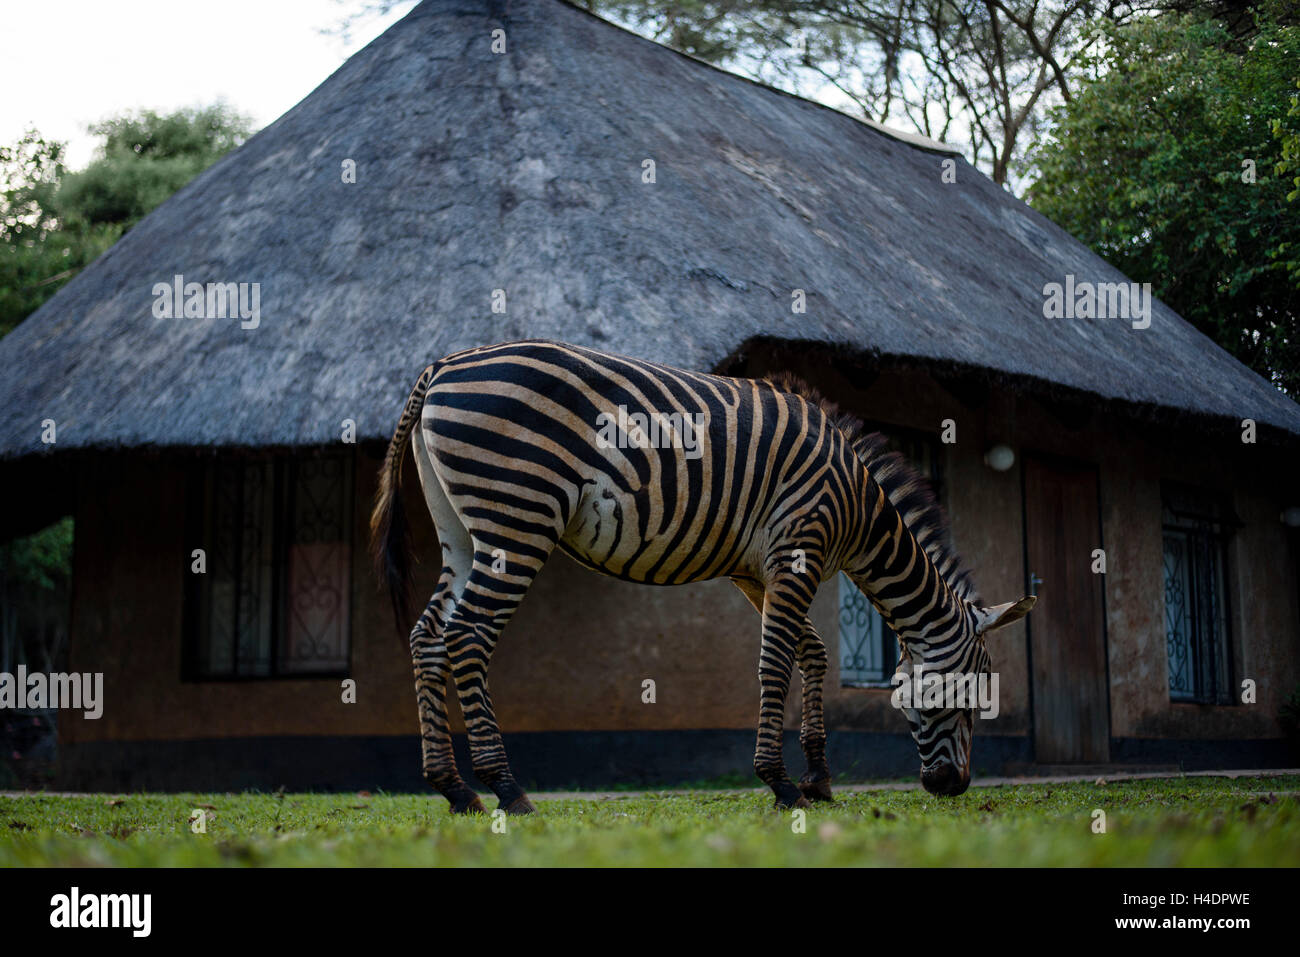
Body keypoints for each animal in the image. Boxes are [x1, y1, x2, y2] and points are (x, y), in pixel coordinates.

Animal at [370, 339, 1035, 814]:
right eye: (977, 691)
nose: (955, 787)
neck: (859, 505)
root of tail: (441, 366)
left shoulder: (756, 570)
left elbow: (812, 652)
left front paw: (819, 778)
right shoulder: (798, 548)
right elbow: (776, 661)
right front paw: (780, 783)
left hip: (463, 532)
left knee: (428, 636)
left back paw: (454, 789)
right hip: (518, 520)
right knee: (467, 638)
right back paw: (507, 789)